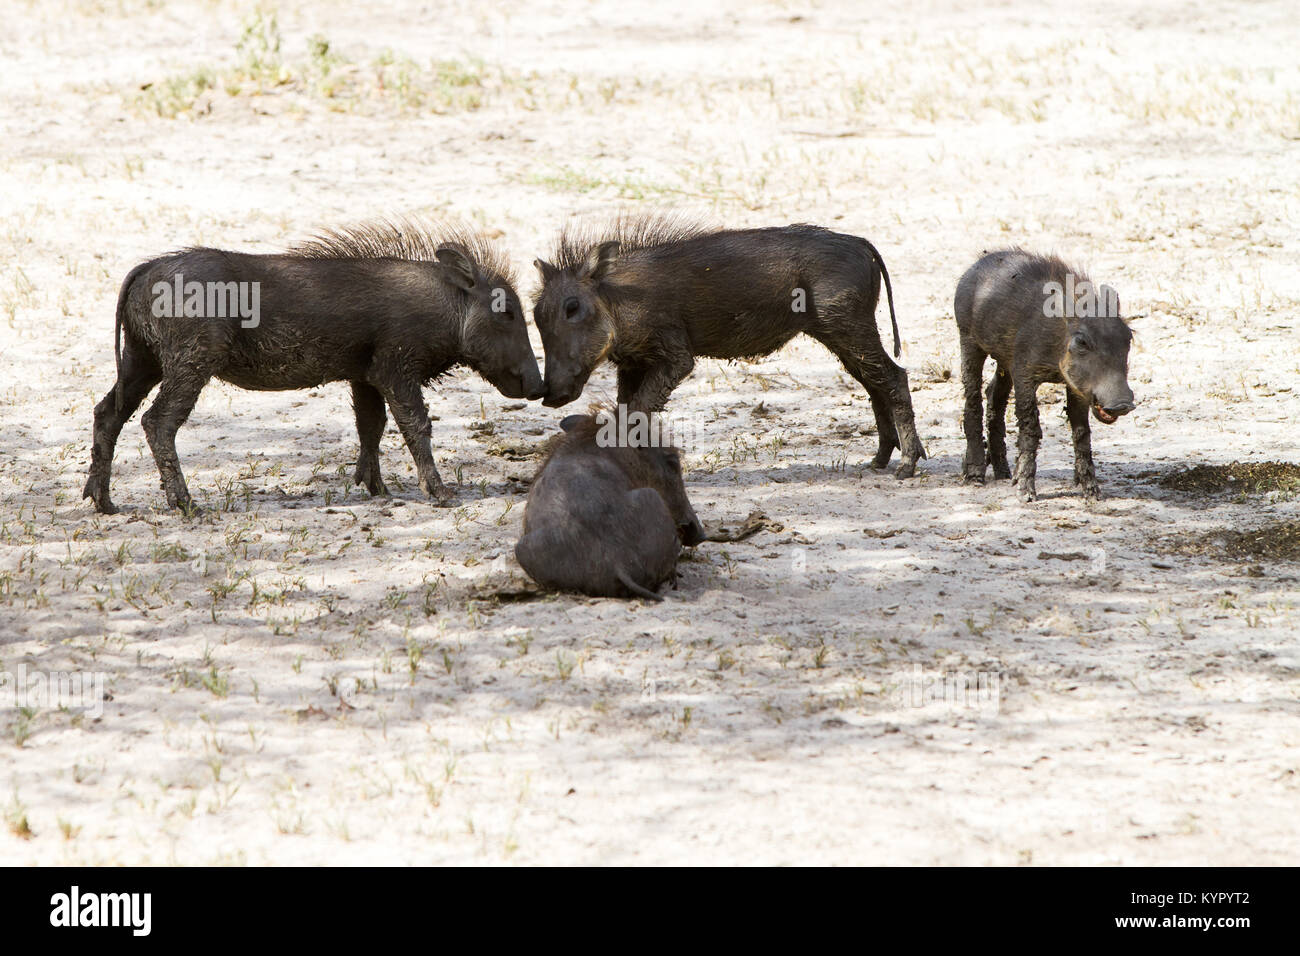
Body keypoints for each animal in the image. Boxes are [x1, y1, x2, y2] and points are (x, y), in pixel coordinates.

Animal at [83, 218, 544, 515]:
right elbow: (415, 426)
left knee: (108, 412)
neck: (445, 306)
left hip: (142, 360)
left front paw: (377, 489)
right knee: (157, 421)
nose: (540, 387)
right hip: (189, 363)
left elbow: (371, 427)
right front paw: (442, 494)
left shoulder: (366, 376)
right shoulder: (396, 369)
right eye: (507, 312)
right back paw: (185, 504)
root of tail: (147, 268)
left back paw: (104, 503)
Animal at [530, 216, 927, 477]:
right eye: (535, 312)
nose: (550, 395)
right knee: (875, 385)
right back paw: (879, 461)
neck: (617, 300)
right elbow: (629, 413)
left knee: (894, 378)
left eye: (572, 307)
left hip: (849, 326)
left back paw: (906, 466)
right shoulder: (632, 365)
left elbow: (637, 412)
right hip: (843, 334)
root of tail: (859, 241)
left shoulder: (675, 356)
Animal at [954, 248, 1136, 501]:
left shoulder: (1075, 387)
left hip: (1004, 360)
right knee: (972, 401)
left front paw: (1091, 492)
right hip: (969, 341)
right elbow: (1030, 428)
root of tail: (978, 264)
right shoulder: (1024, 373)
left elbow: (1081, 432)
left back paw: (1004, 472)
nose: (1121, 404)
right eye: (1082, 341)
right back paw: (974, 475)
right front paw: (1026, 492)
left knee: (994, 395)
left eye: (1128, 336)